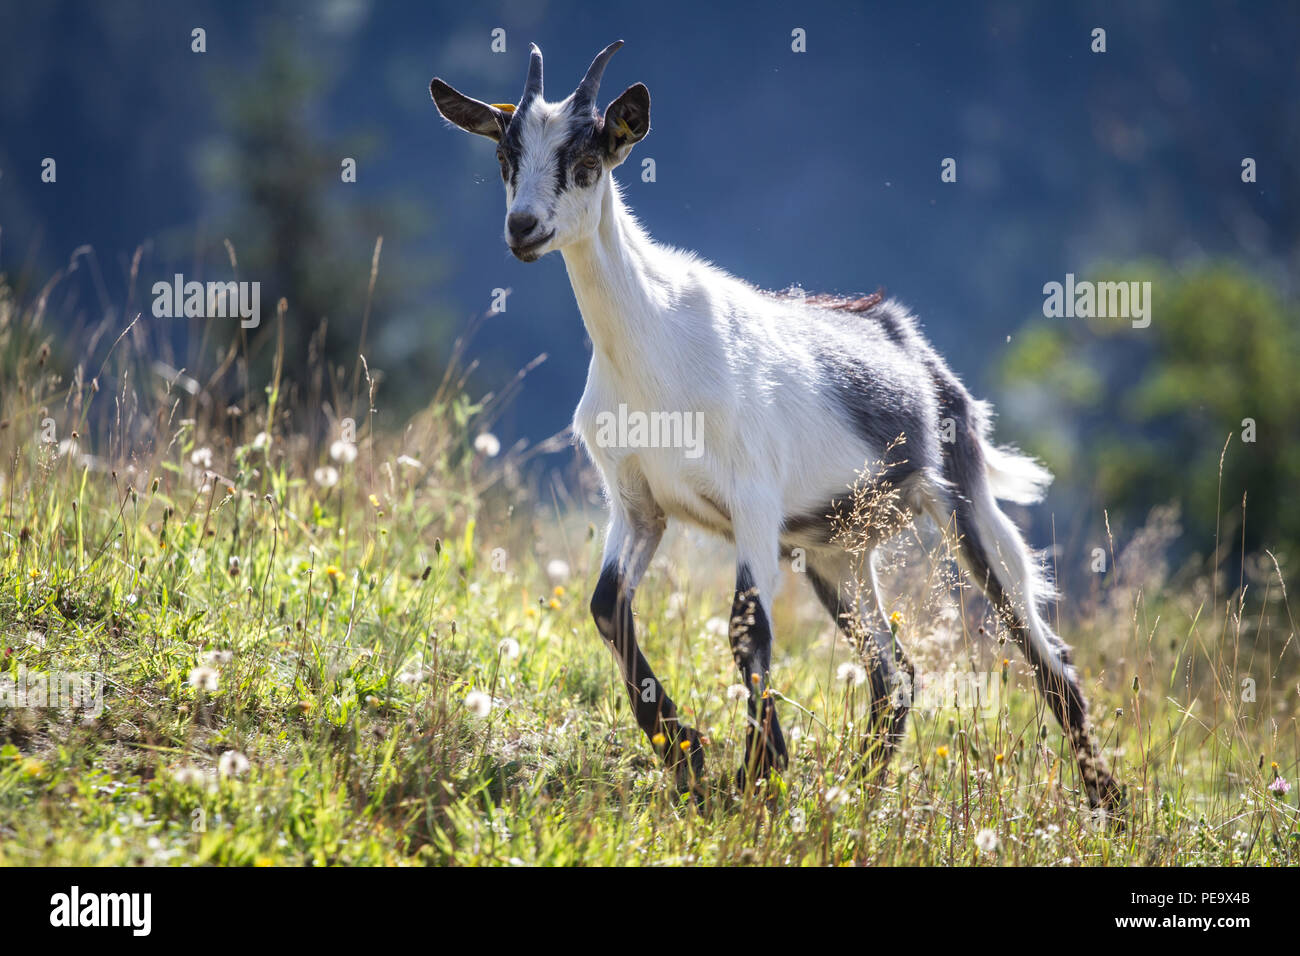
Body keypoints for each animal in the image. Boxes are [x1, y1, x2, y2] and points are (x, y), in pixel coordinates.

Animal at [429, 41, 1124, 812]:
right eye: (505, 157)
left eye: (585, 161)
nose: (523, 229)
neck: (654, 345)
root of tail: (919, 354)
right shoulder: (637, 503)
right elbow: (607, 604)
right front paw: (687, 750)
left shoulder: (752, 500)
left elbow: (746, 626)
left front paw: (760, 772)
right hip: (837, 550)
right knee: (896, 672)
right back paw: (856, 791)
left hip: (963, 504)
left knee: (1046, 656)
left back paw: (1108, 805)